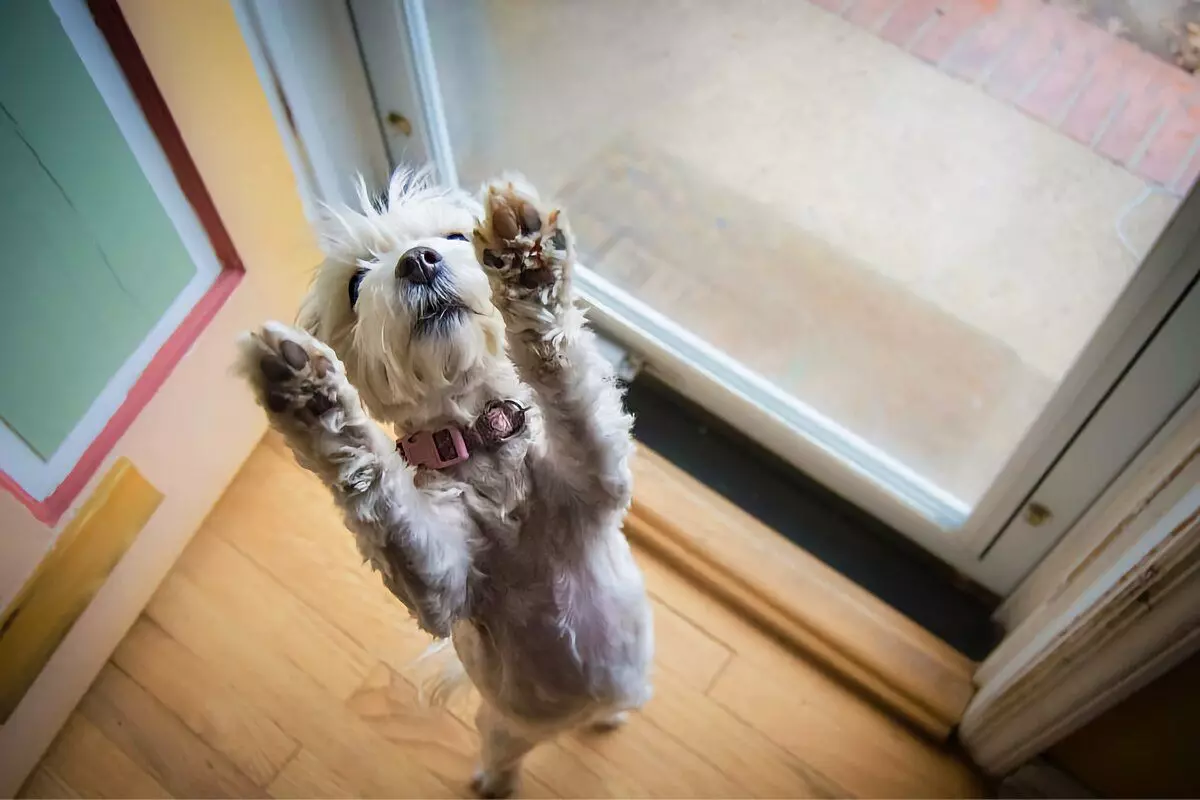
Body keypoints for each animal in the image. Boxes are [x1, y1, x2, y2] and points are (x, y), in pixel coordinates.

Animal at [235, 167, 657, 796]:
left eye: (456, 237)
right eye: (356, 284)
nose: (417, 260)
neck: (481, 440)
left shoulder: (597, 477)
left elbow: (564, 377)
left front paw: (526, 261)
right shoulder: (443, 583)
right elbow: (381, 496)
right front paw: (313, 394)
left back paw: (608, 717)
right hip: (504, 724)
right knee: (505, 750)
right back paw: (495, 780)